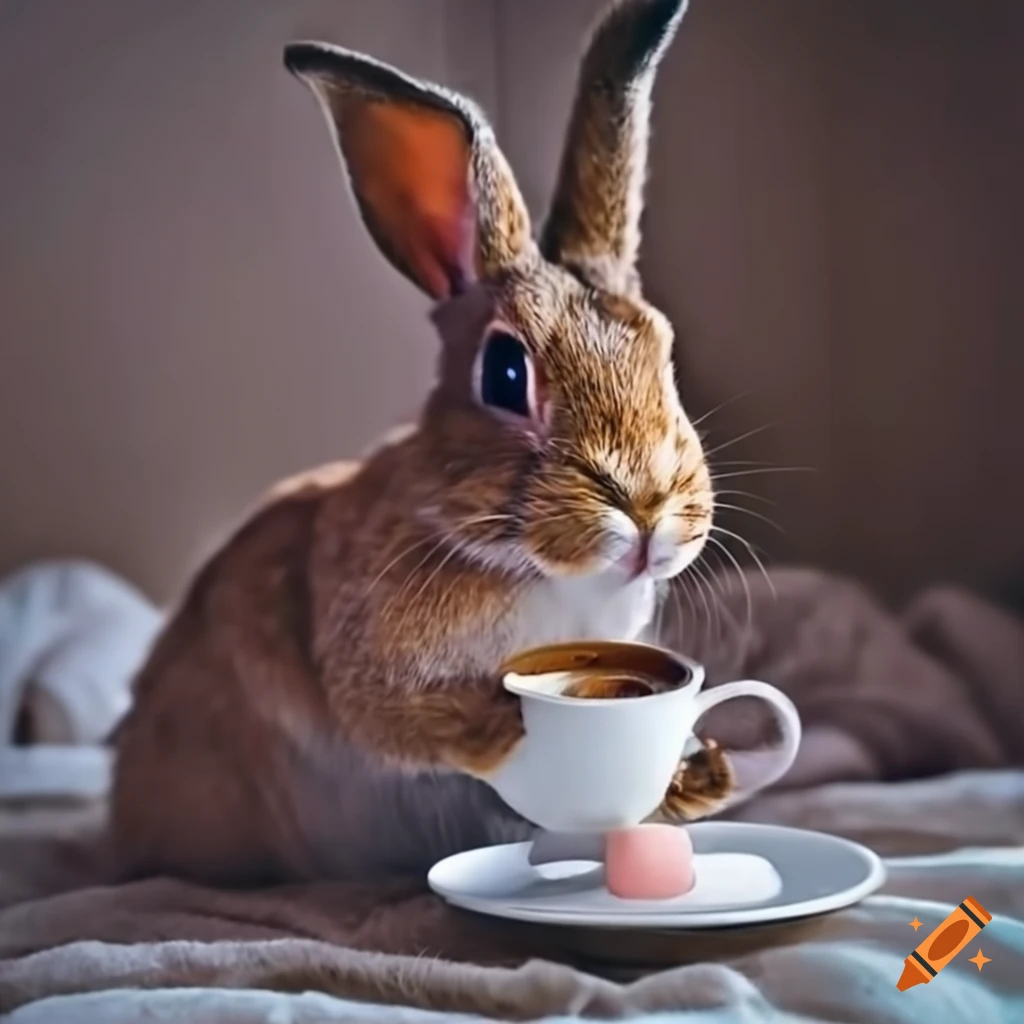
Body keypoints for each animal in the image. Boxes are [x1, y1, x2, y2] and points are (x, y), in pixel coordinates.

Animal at [109, 0, 733, 886]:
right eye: (505, 374)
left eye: (665, 352)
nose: (647, 509)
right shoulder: (369, 670)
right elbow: (426, 717)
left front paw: (697, 774)